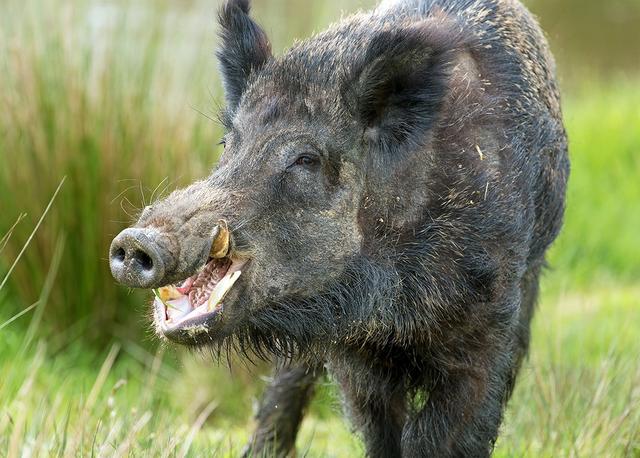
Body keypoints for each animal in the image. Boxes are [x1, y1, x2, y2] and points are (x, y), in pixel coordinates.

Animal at [109, 0, 569, 456]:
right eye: (228, 144)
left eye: (306, 160)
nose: (136, 241)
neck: (398, 308)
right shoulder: (354, 351)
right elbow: (379, 427)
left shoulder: (488, 328)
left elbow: (447, 433)